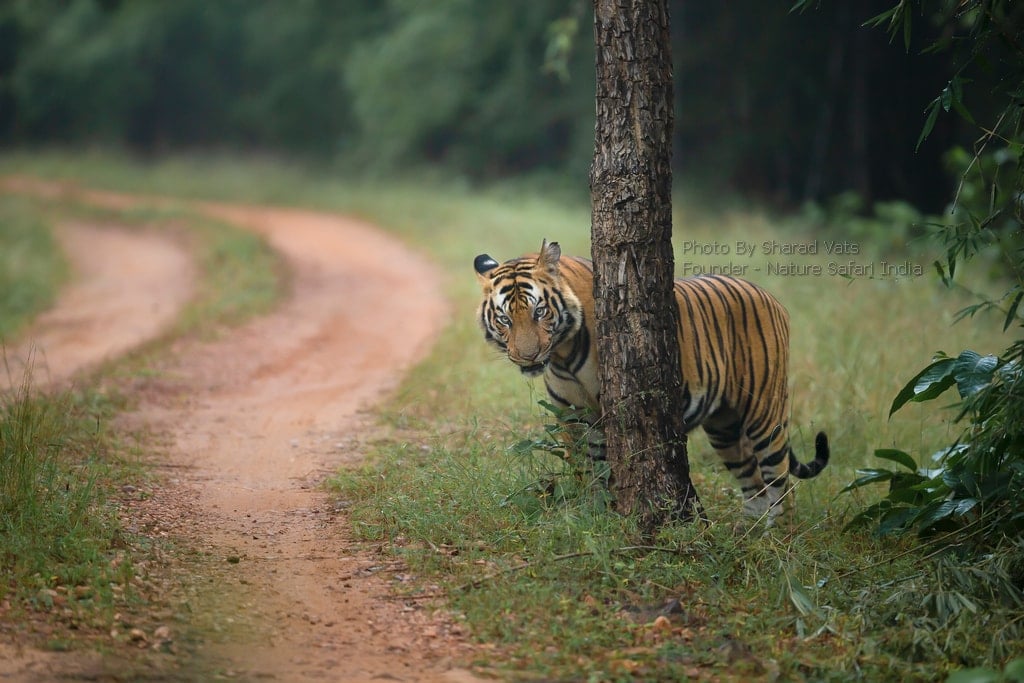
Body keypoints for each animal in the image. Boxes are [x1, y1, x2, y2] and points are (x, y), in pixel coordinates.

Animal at [474, 238, 829, 523]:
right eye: (505, 318)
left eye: (539, 312)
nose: (528, 357)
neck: (562, 354)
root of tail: (771, 297)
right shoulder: (572, 417)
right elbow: (586, 472)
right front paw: (591, 514)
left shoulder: (610, 410)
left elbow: (609, 471)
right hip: (724, 427)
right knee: (754, 488)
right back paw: (748, 539)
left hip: (764, 412)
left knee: (782, 486)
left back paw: (779, 544)